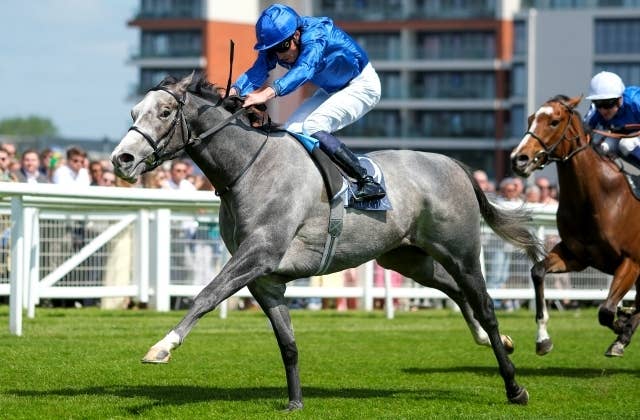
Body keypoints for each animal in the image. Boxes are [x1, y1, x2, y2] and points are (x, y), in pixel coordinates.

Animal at [111, 73, 545, 409]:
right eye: (133, 112)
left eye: (165, 112)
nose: (122, 160)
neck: (249, 168)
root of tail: (452, 163)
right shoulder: (265, 278)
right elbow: (287, 343)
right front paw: (295, 402)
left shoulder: (259, 253)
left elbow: (205, 296)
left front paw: (163, 346)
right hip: (406, 257)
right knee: (455, 290)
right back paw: (496, 341)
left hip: (462, 251)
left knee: (484, 305)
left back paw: (514, 385)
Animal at [510, 94, 640, 358]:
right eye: (530, 119)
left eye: (554, 121)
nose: (519, 159)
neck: (599, 198)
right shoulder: (576, 256)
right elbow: (537, 271)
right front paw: (543, 339)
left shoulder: (631, 262)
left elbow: (606, 311)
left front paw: (622, 324)